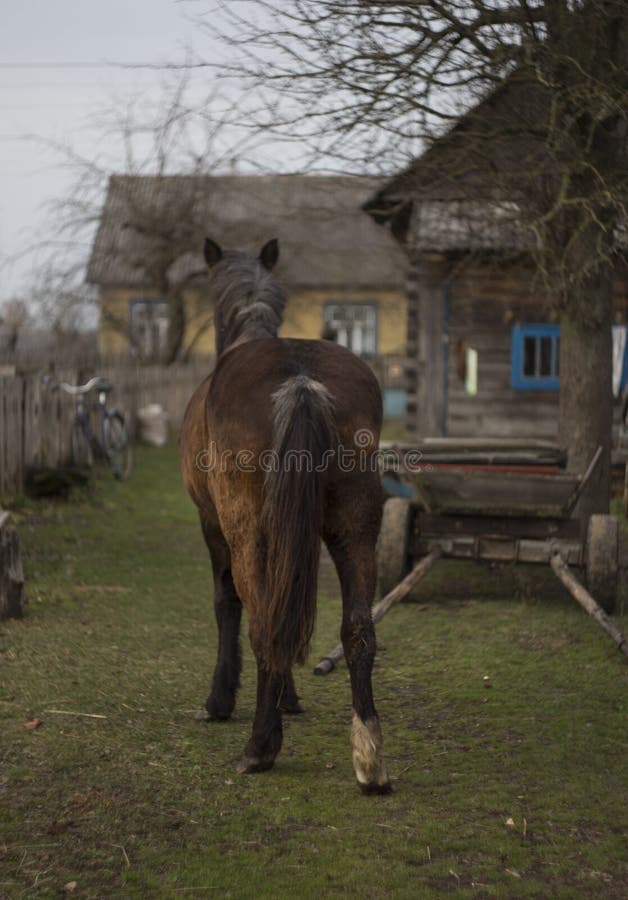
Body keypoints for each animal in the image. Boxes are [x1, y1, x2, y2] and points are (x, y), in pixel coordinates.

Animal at [179, 237, 391, 794]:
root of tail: (301, 379)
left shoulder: (212, 527)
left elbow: (227, 604)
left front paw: (220, 702)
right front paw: (288, 696)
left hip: (244, 533)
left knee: (261, 623)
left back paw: (259, 746)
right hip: (355, 529)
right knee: (356, 630)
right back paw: (369, 758)